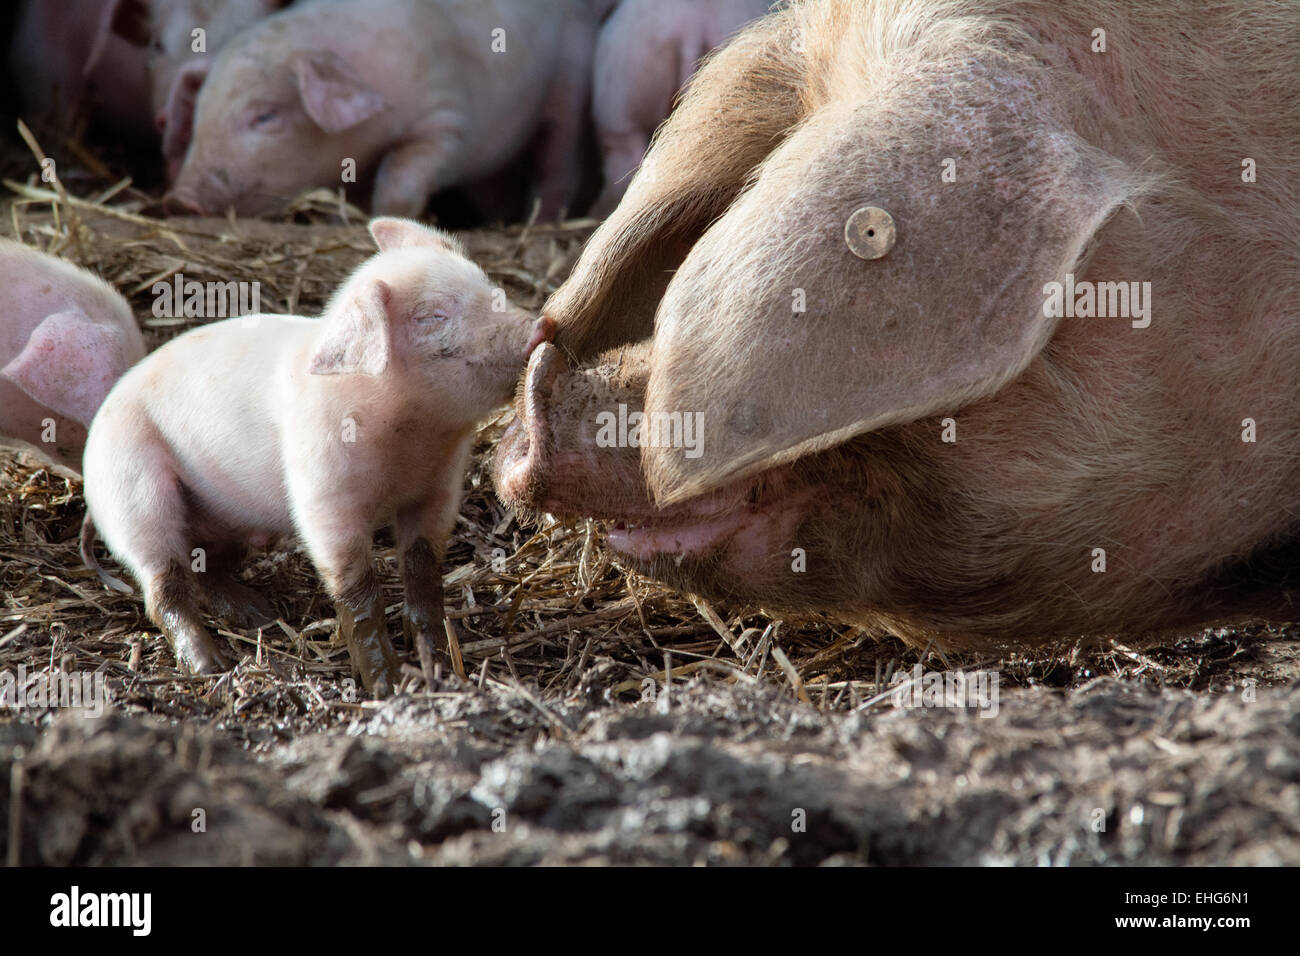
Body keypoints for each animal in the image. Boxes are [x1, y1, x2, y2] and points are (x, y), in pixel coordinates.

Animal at [81, 217, 549, 696]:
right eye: (432, 315)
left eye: (488, 286)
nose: (539, 326)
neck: (412, 438)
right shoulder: (323, 492)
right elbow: (358, 592)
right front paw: (387, 686)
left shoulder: (440, 487)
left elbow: (423, 571)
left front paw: (438, 664)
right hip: (133, 494)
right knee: (163, 589)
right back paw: (211, 664)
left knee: (205, 568)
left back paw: (260, 613)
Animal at [166, 0, 596, 220]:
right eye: (200, 115)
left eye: (265, 116)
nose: (182, 197)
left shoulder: (445, 117)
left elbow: (401, 181)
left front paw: (386, 219)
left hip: (570, 78)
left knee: (560, 164)